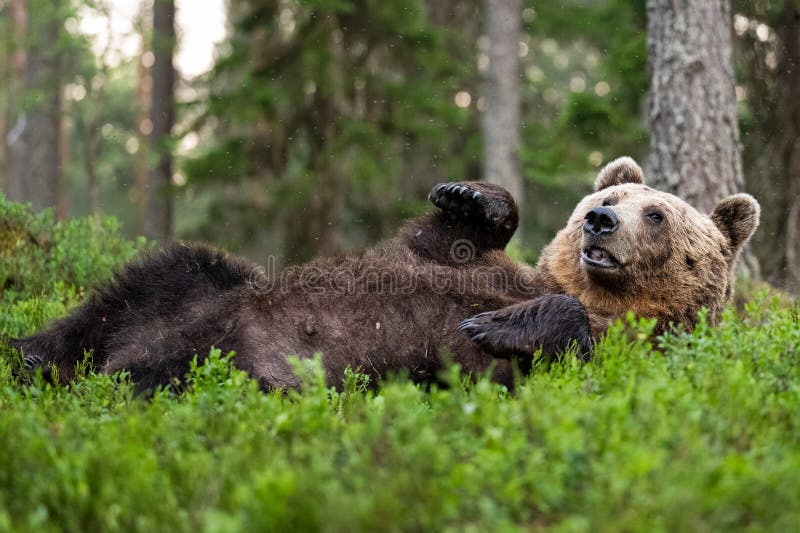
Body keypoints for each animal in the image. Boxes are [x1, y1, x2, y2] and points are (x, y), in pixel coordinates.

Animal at [9, 157, 759, 392]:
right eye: (606, 198)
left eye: (657, 214)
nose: (602, 220)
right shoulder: (453, 260)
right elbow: (440, 240)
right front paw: (467, 194)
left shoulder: (640, 346)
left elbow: (581, 347)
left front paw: (492, 325)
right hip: (199, 286)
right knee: (147, 280)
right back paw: (26, 354)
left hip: (263, 368)